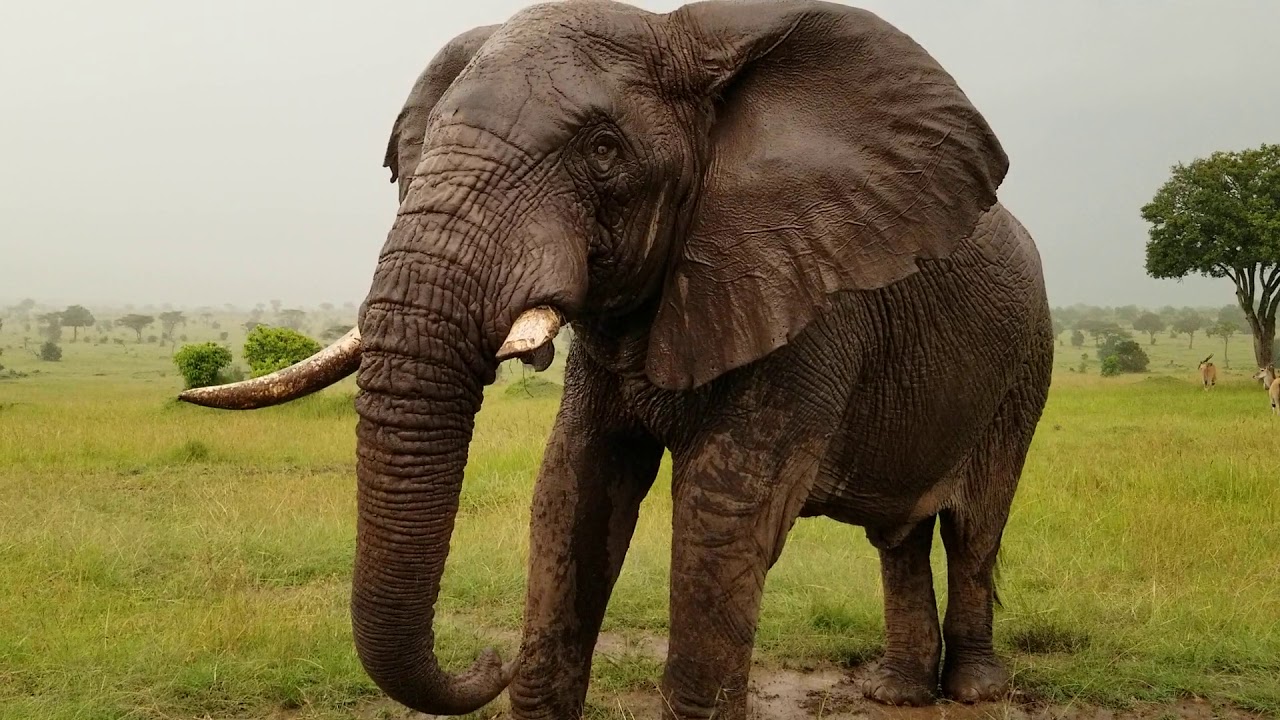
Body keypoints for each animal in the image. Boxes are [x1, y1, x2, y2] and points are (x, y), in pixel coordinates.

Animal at [180, 1, 1053, 718]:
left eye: (603, 149)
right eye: (418, 156)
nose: (487, 658)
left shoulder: (810, 292)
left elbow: (722, 513)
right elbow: (573, 489)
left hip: (1025, 367)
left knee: (976, 527)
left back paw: (974, 690)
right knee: (899, 537)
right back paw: (896, 693)